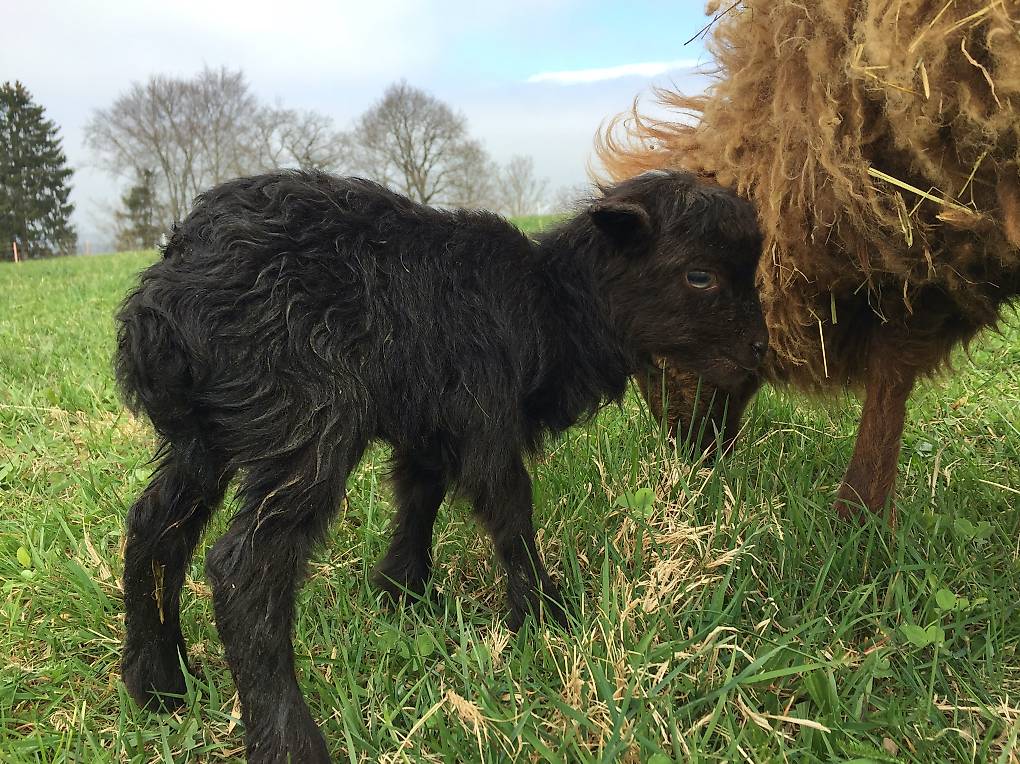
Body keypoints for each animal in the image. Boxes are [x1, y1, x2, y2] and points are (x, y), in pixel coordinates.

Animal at [115, 169, 766, 763]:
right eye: (700, 274)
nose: (761, 351)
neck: (552, 307)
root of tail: (168, 290)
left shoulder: (430, 422)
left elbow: (418, 496)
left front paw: (402, 590)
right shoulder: (485, 413)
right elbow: (509, 512)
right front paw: (544, 613)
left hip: (206, 434)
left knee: (154, 529)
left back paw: (158, 685)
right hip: (306, 414)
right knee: (244, 567)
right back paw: (288, 741)